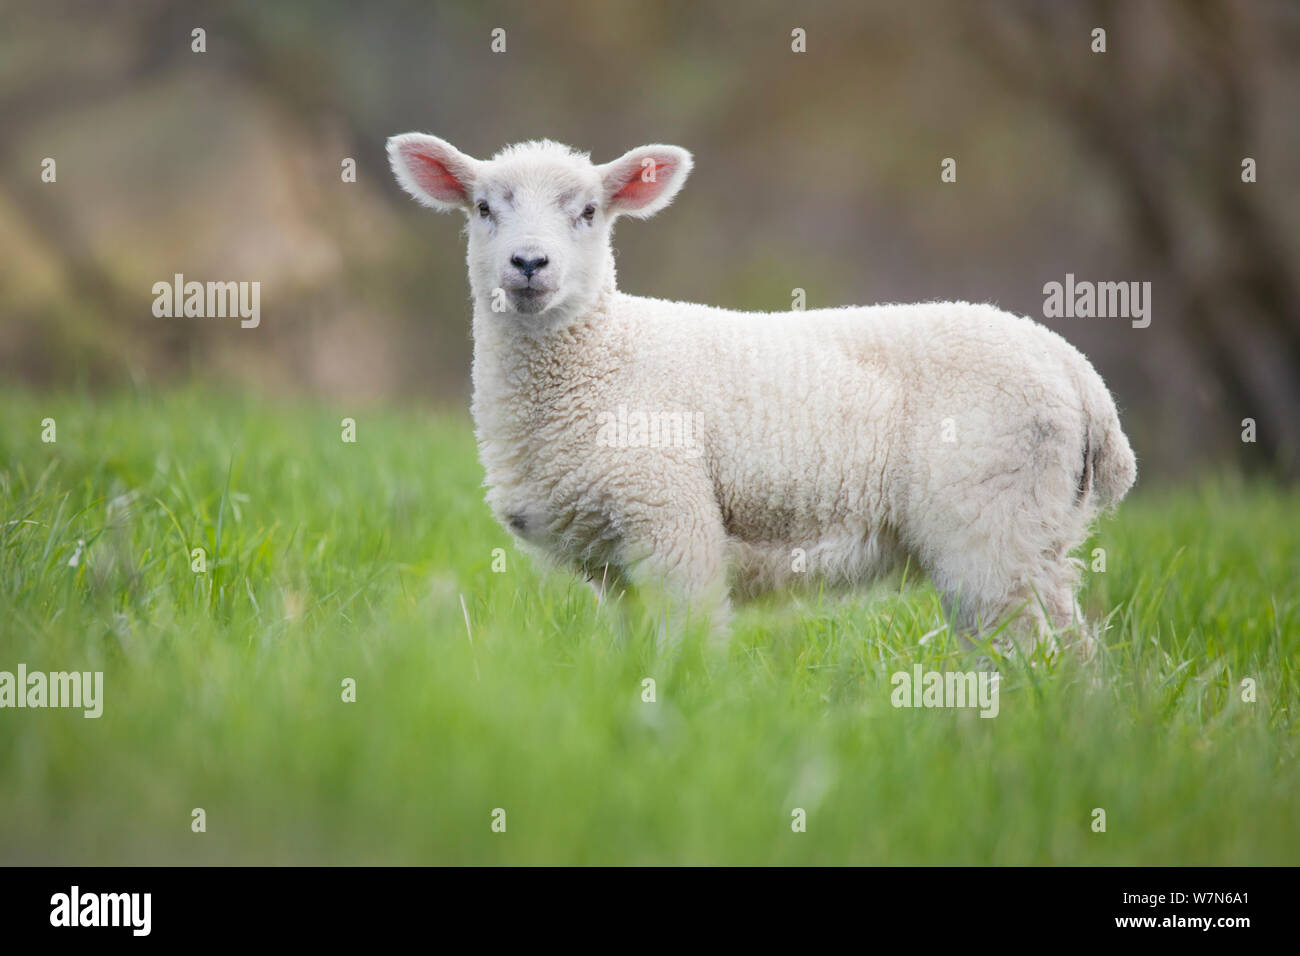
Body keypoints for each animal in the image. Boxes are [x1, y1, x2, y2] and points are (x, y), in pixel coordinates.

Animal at [387, 133, 1137, 657]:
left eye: (590, 212)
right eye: (484, 208)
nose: (529, 264)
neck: (605, 357)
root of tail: (1081, 377)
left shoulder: (672, 518)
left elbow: (688, 642)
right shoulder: (615, 569)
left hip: (991, 517)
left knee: (1029, 649)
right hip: (1040, 529)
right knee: (1071, 652)